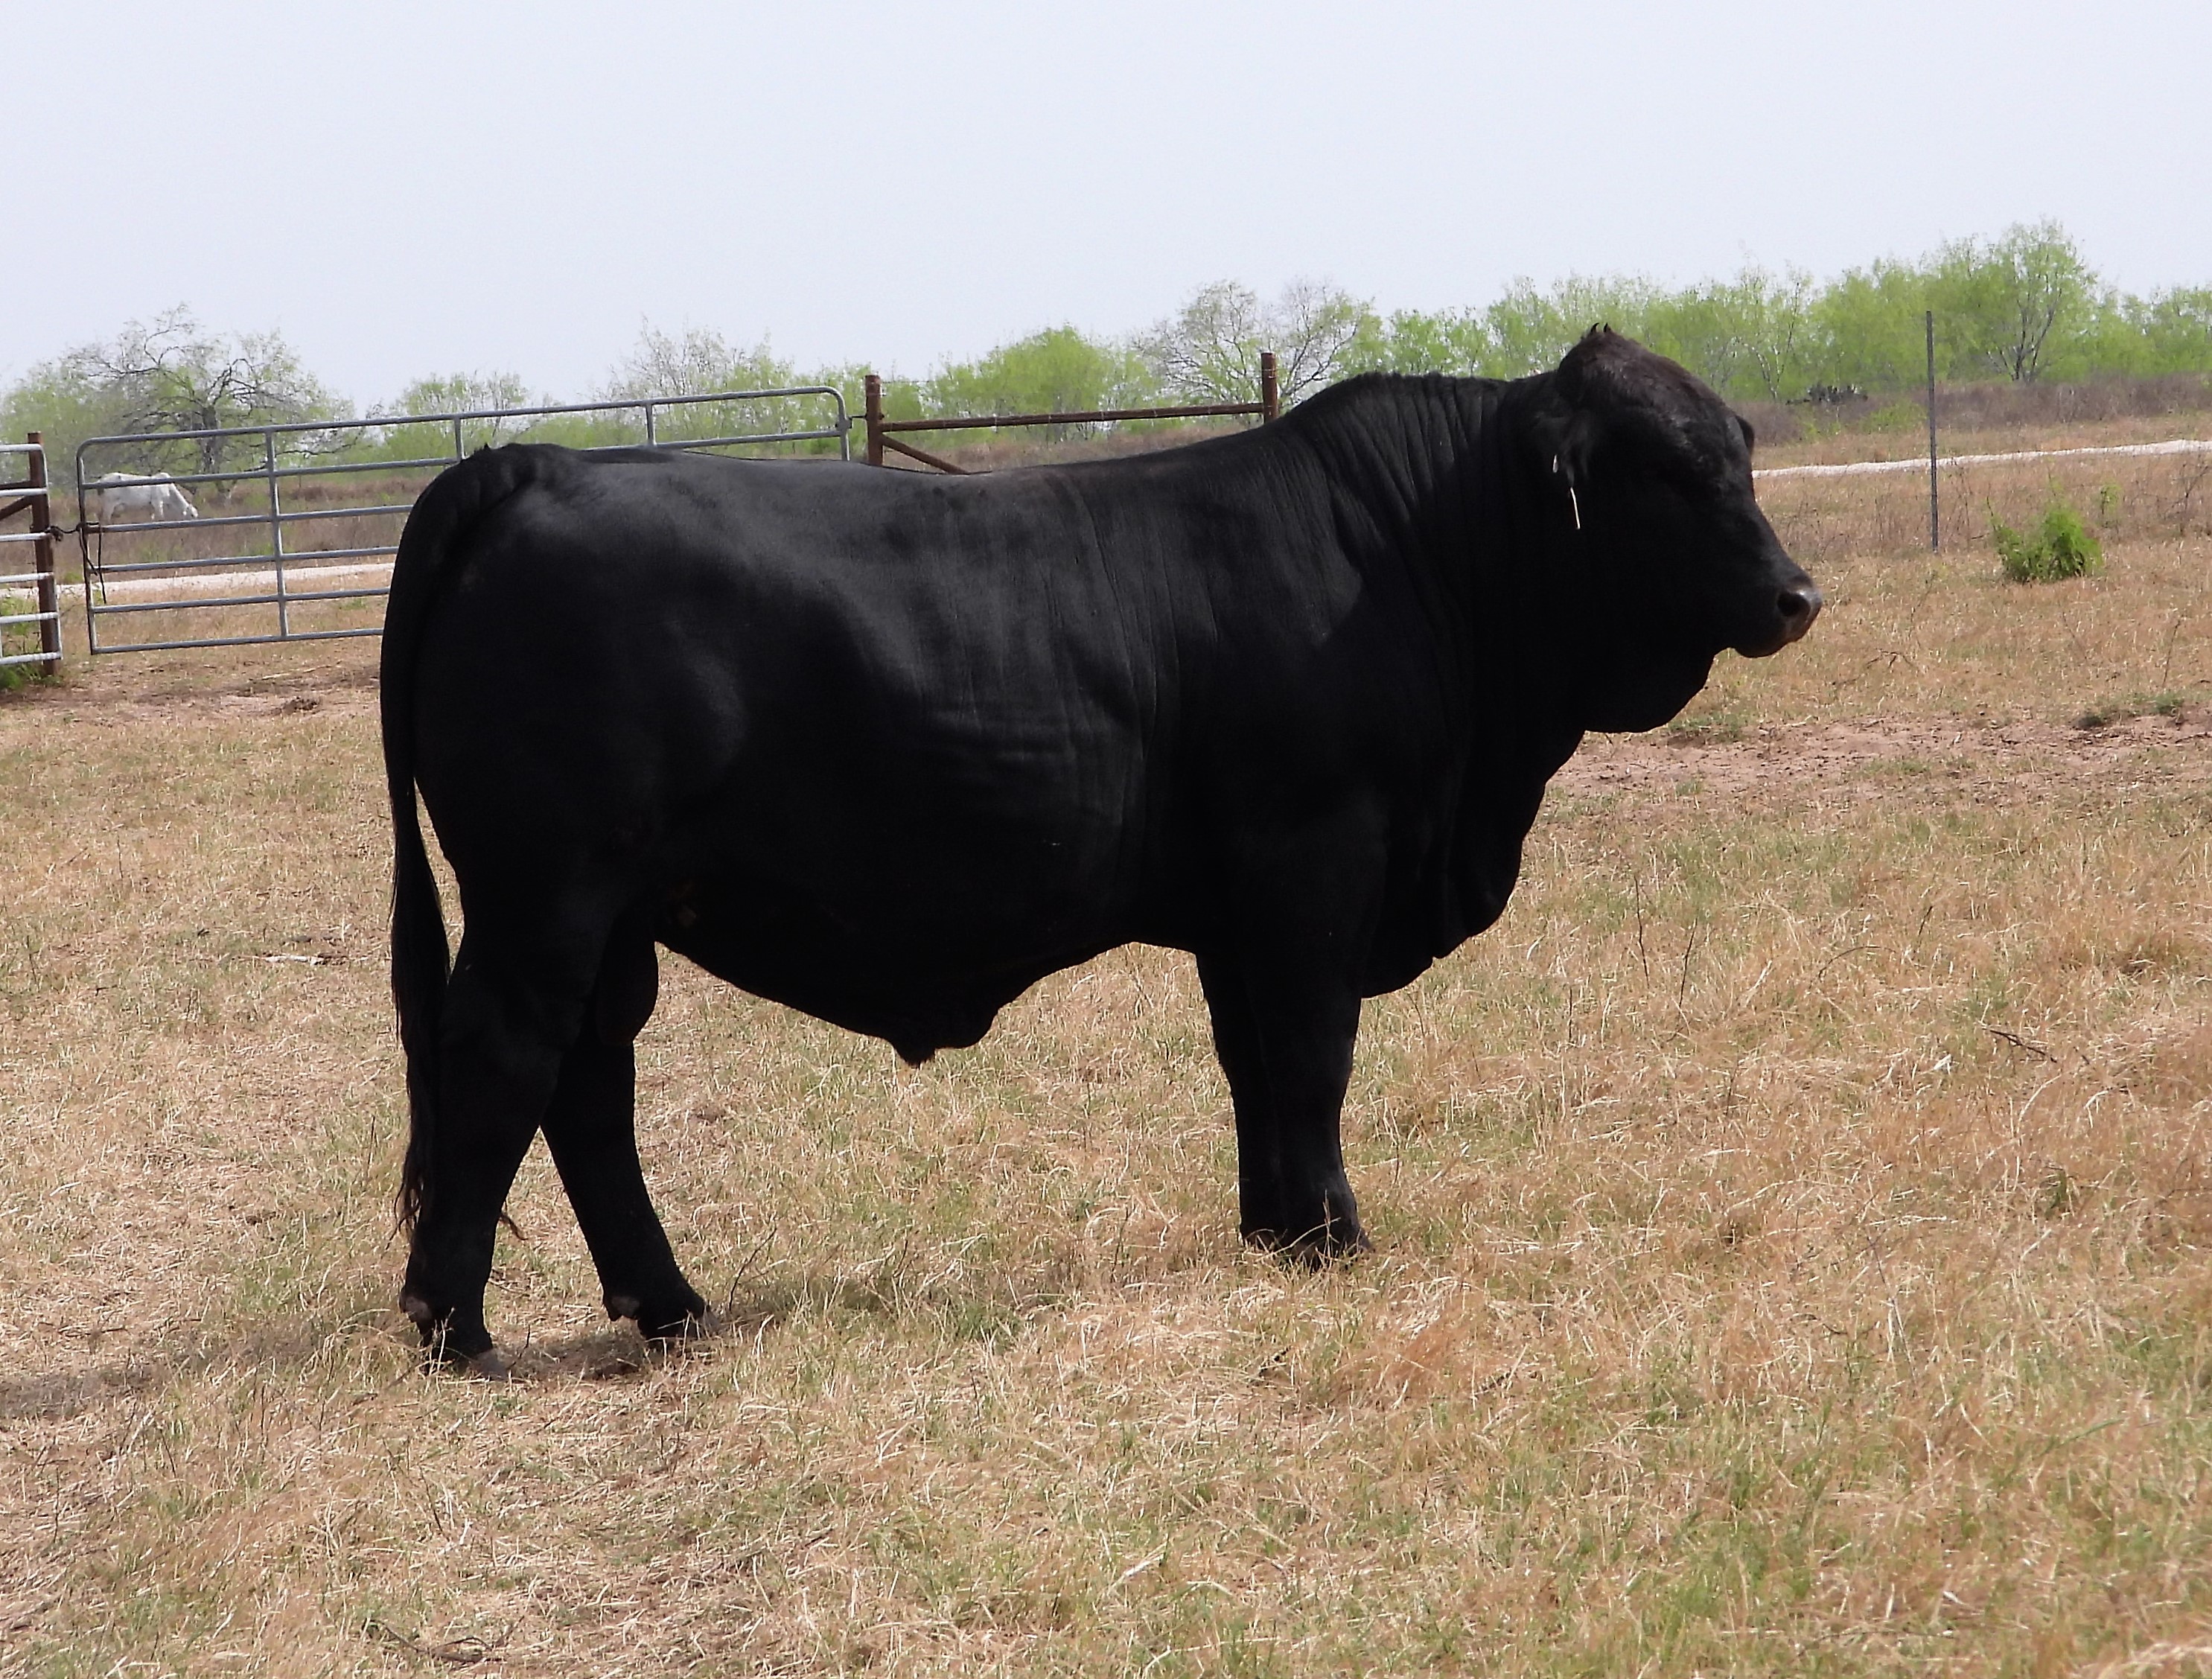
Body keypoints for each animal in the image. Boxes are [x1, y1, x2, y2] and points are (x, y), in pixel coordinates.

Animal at [89, 471, 200, 525]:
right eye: (192, 515)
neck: (169, 489)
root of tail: (100, 480)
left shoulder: (151, 508)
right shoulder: (157, 502)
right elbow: (161, 518)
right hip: (109, 504)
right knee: (105, 520)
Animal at [382, 328, 1820, 1373]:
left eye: (1740, 450)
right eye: (1669, 466)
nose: (1795, 594)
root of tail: (533, 464)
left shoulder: (1236, 902)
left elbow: (1253, 1062)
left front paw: (1274, 1230)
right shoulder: (1315, 858)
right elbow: (1314, 1050)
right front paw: (1338, 1237)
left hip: (609, 912)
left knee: (588, 1081)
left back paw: (669, 1307)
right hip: (547, 895)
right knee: (503, 1060)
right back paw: (457, 1329)